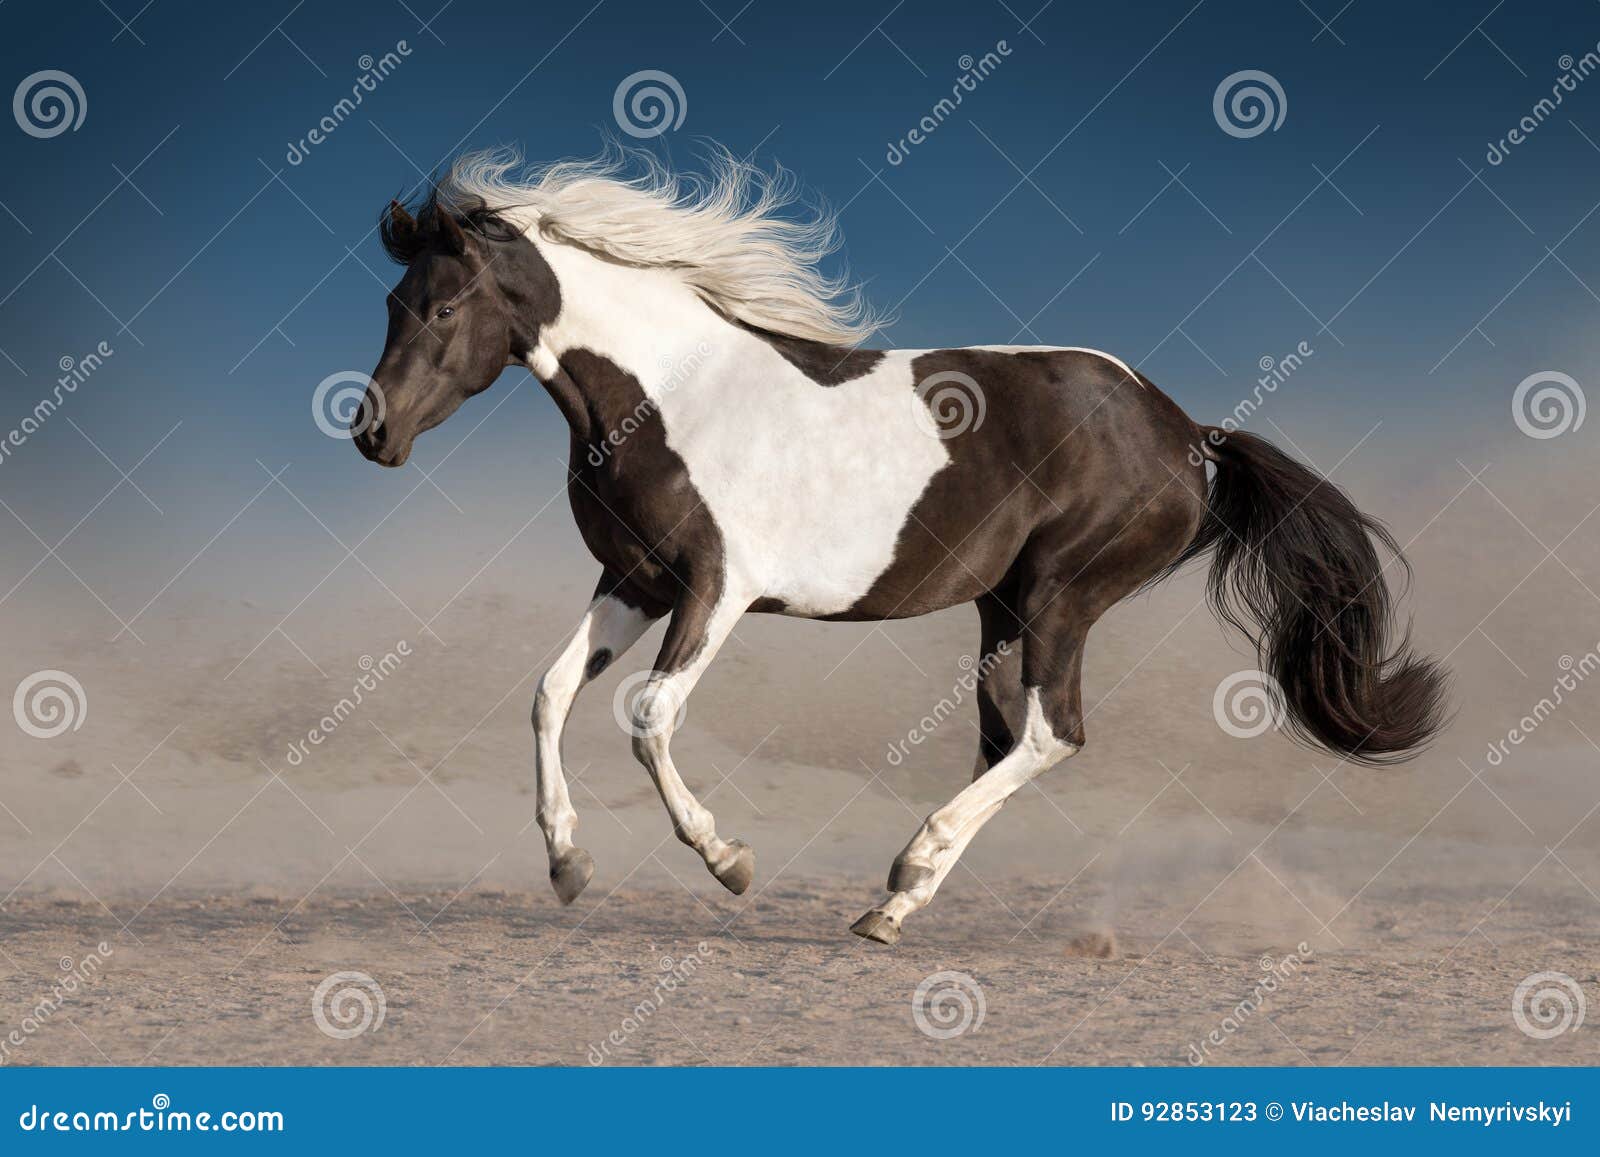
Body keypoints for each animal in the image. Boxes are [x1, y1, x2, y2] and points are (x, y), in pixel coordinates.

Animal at [354, 146, 1448, 945]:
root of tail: (1187, 434)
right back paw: (892, 902)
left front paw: (729, 860)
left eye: (444, 306)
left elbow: (650, 714)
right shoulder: (632, 580)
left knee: (1052, 732)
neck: (664, 394)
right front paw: (567, 864)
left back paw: (903, 879)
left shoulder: (715, 587)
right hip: (1002, 606)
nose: (372, 433)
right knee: (1007, 734)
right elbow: (550, 694)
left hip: (1061, 592)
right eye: (391, 304)